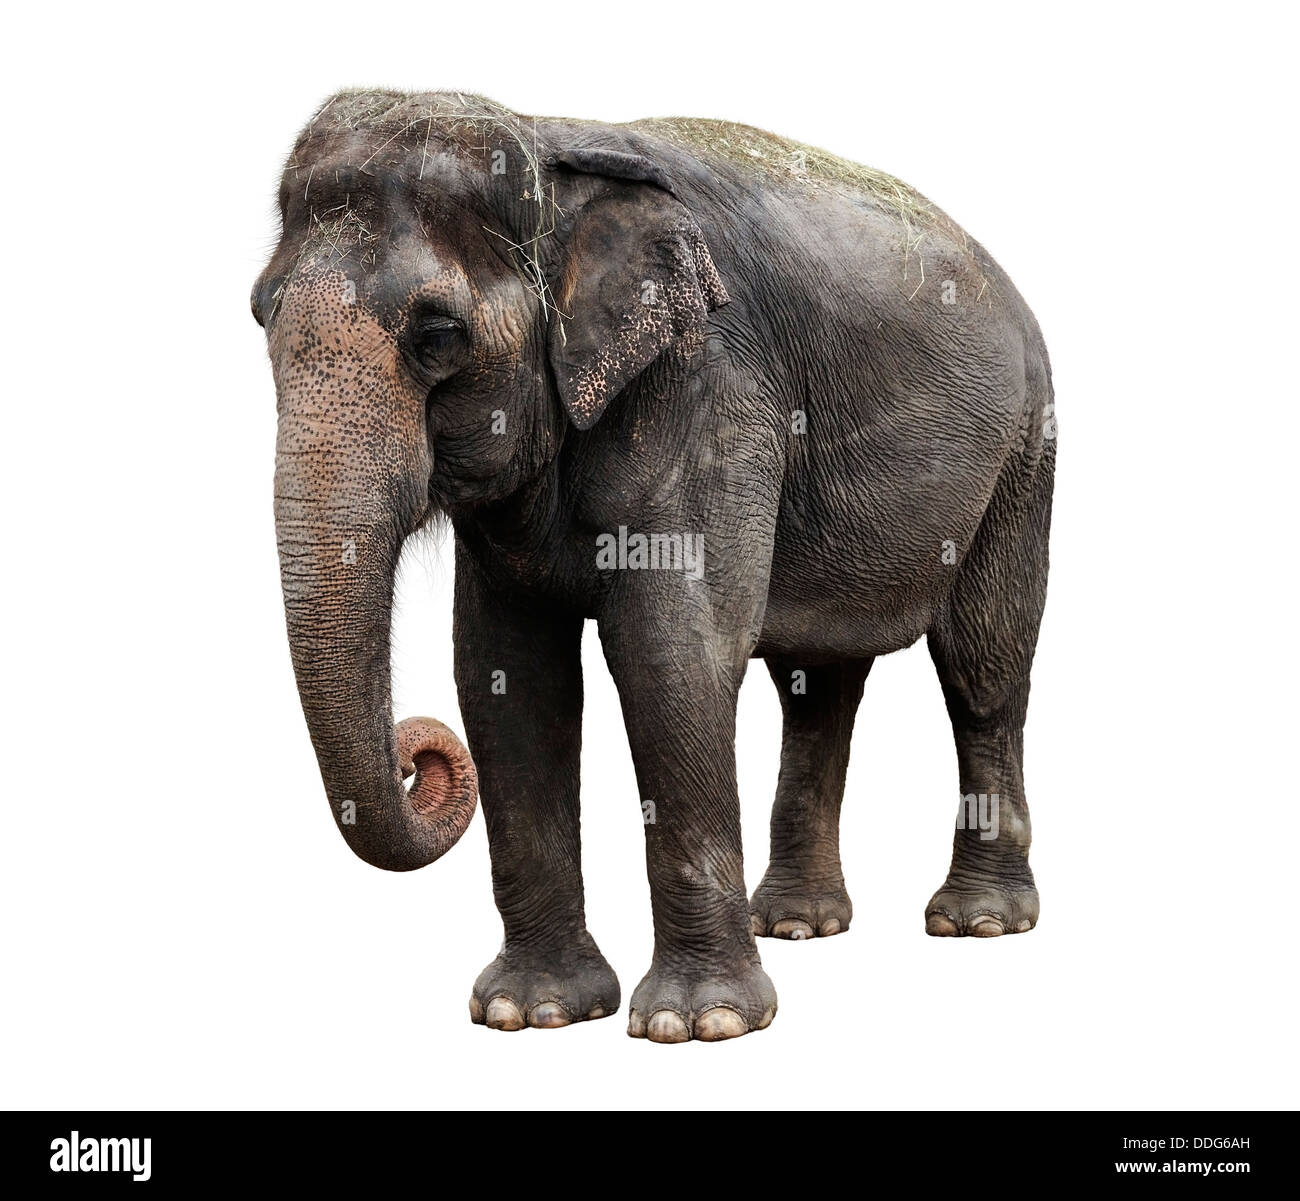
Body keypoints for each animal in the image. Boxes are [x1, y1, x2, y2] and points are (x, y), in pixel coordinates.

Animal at [252, 90, 1055, 1044]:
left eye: (437, 335)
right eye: (261, 316)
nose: (419, 757)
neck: (548, 147)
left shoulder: (711, 389)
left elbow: (670, 652)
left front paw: (699, 1024)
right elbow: (505, 672)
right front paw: (533, 1011)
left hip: (1023, 454)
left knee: (982, 667)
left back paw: (979, 922)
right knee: (818, 683)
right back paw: (798, 922)